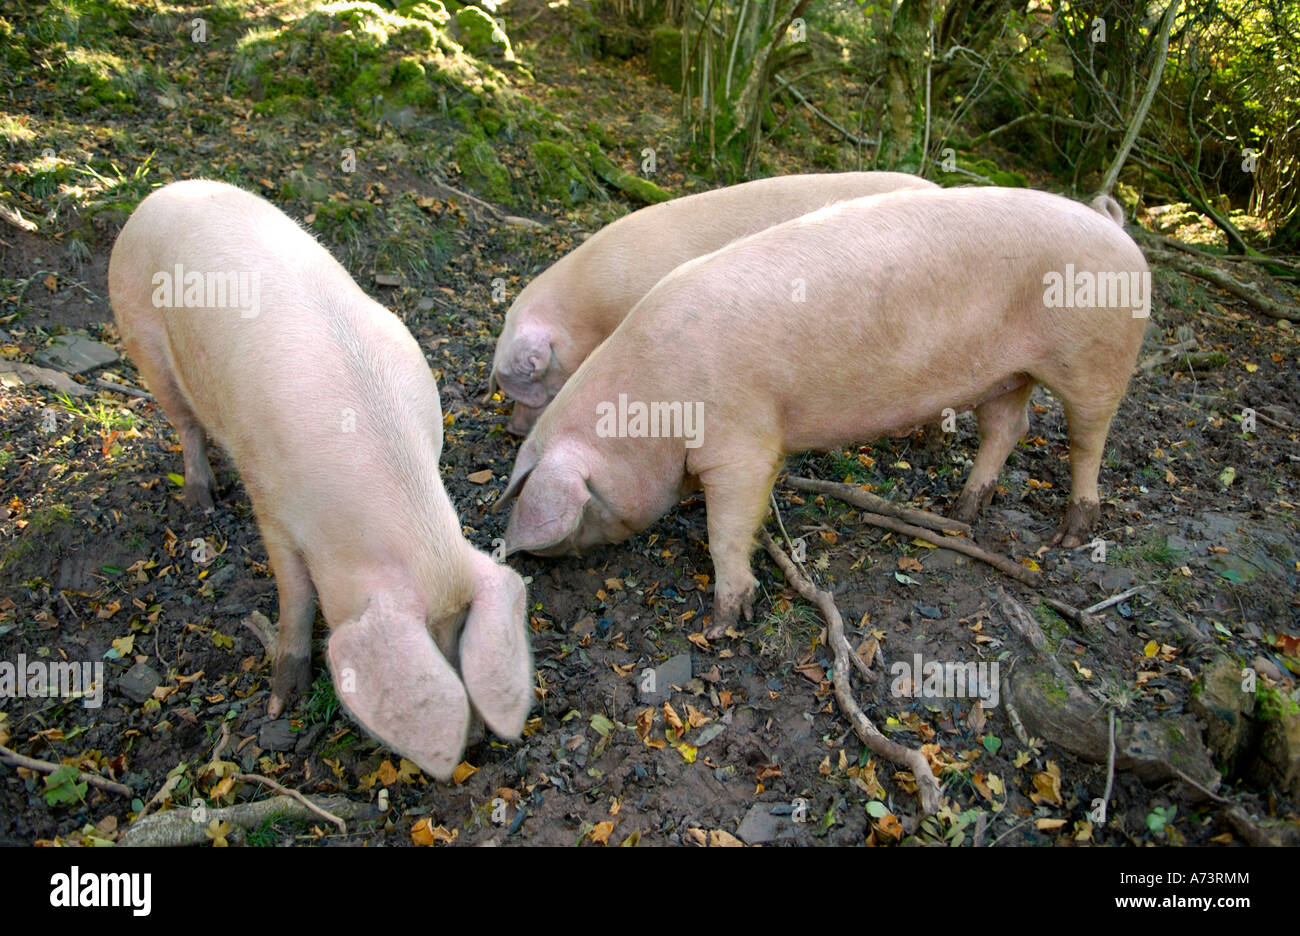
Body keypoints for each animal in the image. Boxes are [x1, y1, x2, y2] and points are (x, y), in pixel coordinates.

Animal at [108, 179, 533, 779]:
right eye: (432, 633)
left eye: (461, 628)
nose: (473, 744)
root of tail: (166, 191)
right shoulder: (270, 500)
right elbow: (296, 596)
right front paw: (280, 702)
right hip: (140, 335)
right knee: (185, 421)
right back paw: (201, 502)